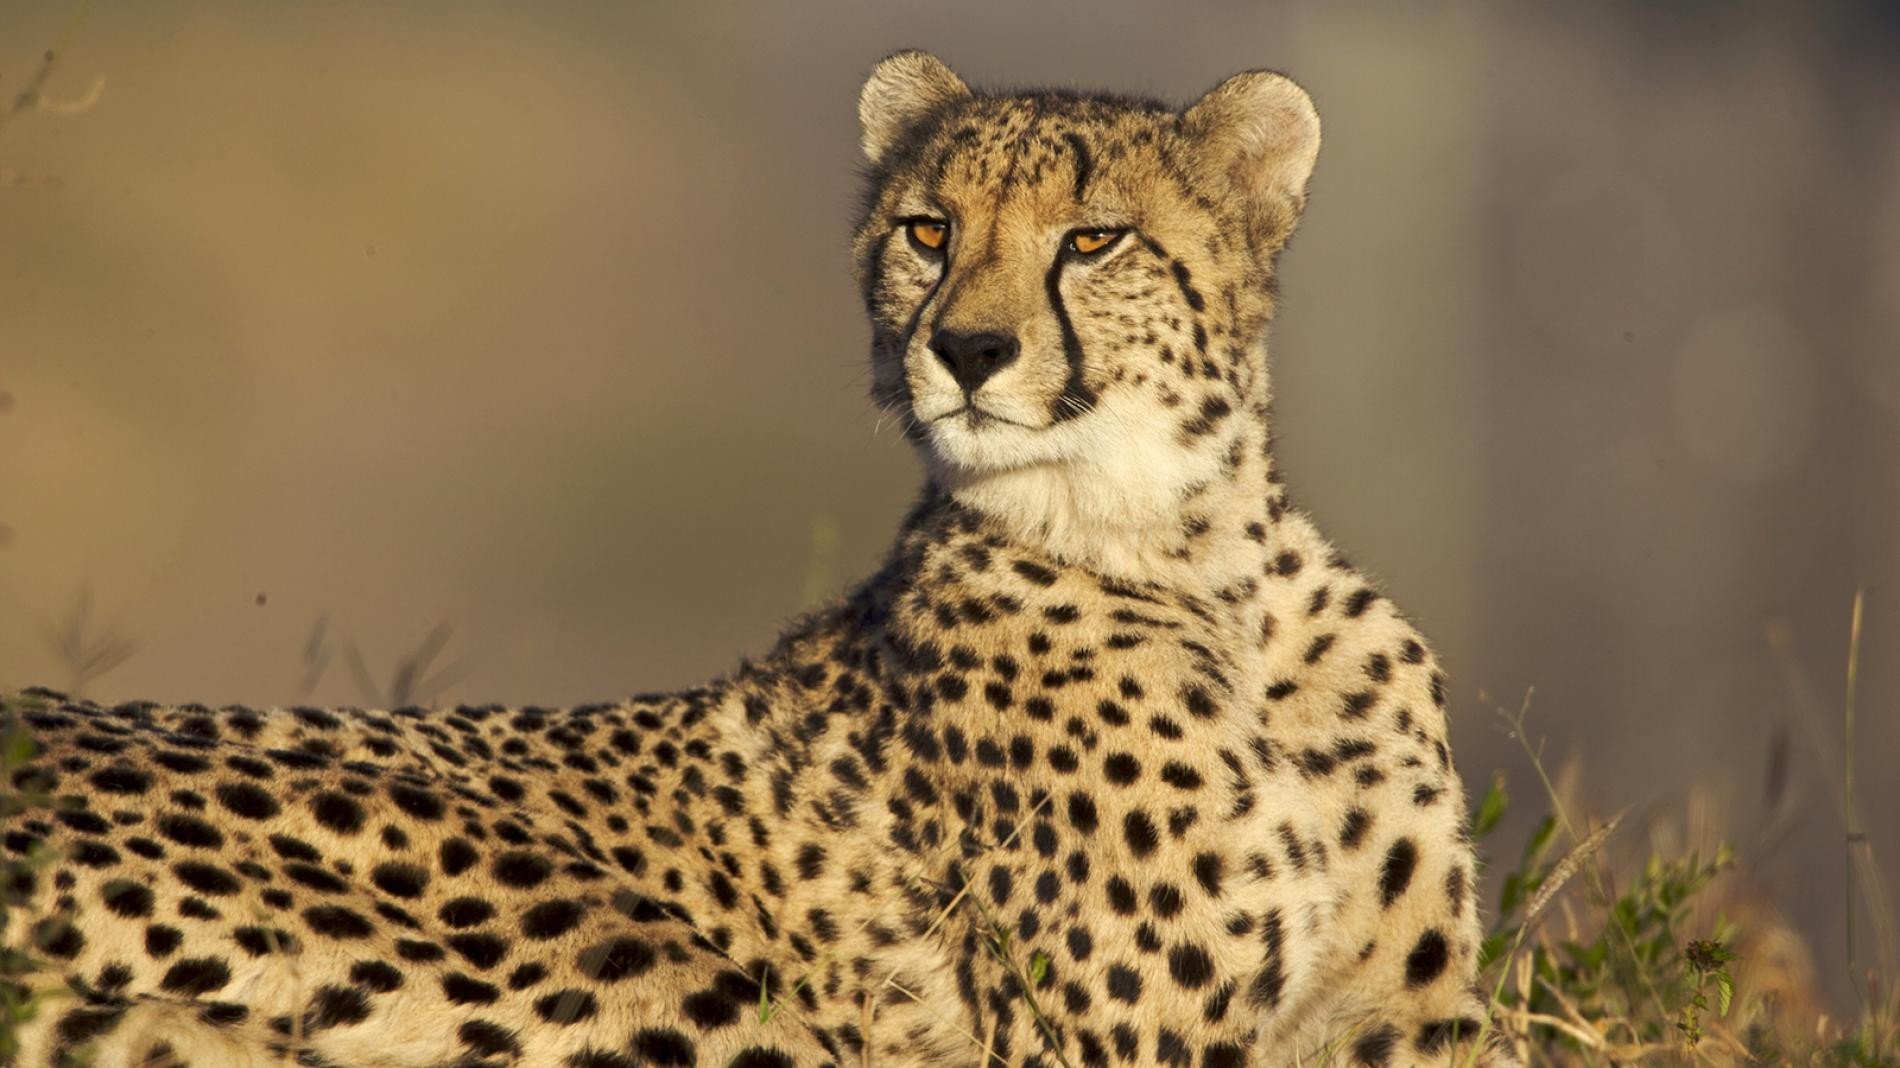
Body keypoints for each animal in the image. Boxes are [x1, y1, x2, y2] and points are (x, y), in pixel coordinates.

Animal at [1, 51, 1511, 1068]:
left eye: (1094, 239)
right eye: (926, 231)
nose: (967, 350)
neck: (1192, 559)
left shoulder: (1414, 1022)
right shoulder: (1113, 1043)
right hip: (675, 978)